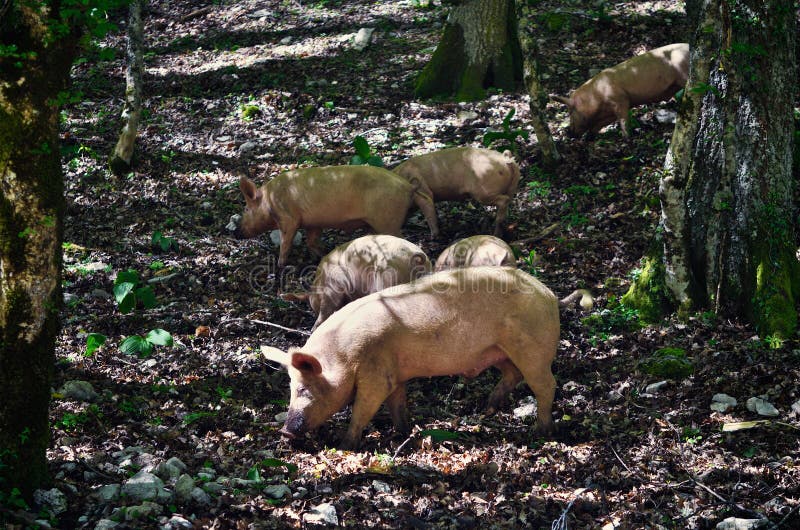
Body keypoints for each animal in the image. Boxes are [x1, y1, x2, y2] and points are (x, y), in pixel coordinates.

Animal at [236, 165, 439, 267]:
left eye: (245, 210)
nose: (235, 232)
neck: (269, 200)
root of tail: (407, 186)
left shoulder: (288, 218)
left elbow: (286, 240)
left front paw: (280, 264)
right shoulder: (314, 223)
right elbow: (311, 240)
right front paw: (320, 253)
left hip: (388, 219)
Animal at [262, 266, 564, 450]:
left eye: (304, 389)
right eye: (290, 388)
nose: (285, 432)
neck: (343, 357)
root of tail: (550, 296)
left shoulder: (376, 376)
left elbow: (363, 409)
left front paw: (344, 444)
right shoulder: (394, 375)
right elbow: (398, 405)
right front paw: (403, 433)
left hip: (532, 348)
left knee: (546, 384)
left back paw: (541, 431)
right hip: (499, 350)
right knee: (513, 374)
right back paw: (488, 407)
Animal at [391, 147, 521, 237]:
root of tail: (505, 158)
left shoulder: (423, 191)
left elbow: (428, 209)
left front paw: (433, 236)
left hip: (483, 191)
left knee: (504, 200)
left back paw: (495, 233)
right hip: (512, 186)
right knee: (508, 201)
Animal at [550, 43, 689, 138]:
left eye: (570, 111)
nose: (568, 134)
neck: (596, 96)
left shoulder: (620, 100)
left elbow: (623, 120)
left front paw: (627, 138)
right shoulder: (609, 112)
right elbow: (601, 124)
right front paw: (590, 137)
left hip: (683, 74)